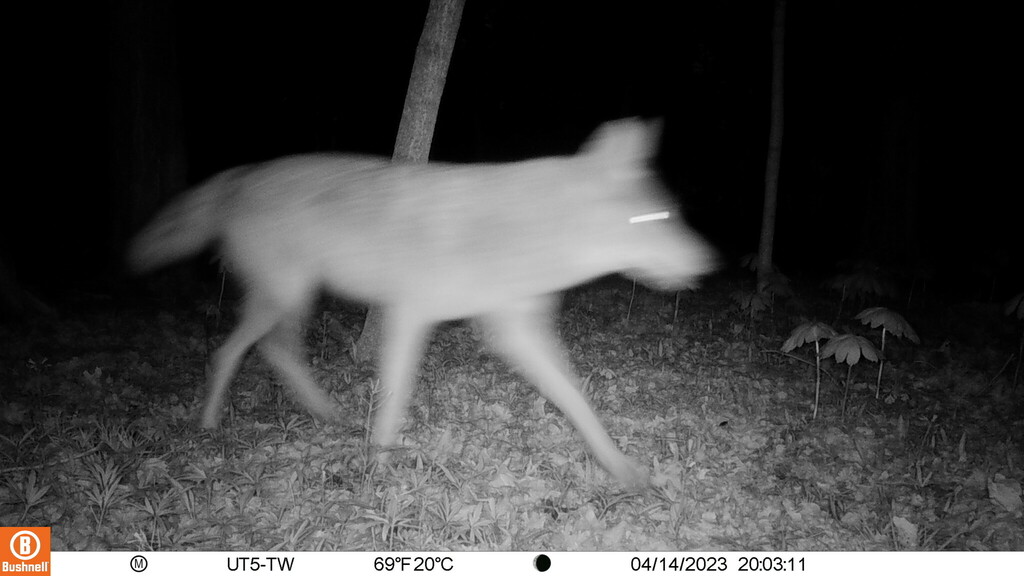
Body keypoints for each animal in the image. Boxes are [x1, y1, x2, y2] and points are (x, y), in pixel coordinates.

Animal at [129, 118, 716, 487]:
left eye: (674, 214)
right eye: (656, 219)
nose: (710, 263)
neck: (525, 234)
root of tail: (241, 175)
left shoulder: (516, 332)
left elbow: (577, 400)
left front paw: (623, 470)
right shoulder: (411, 315)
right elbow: (396, 397)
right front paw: (379, 466)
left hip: (296, 298)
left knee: (277, 352)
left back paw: (328, 413)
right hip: (283, 297)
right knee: (230, 351)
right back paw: (209, 426)